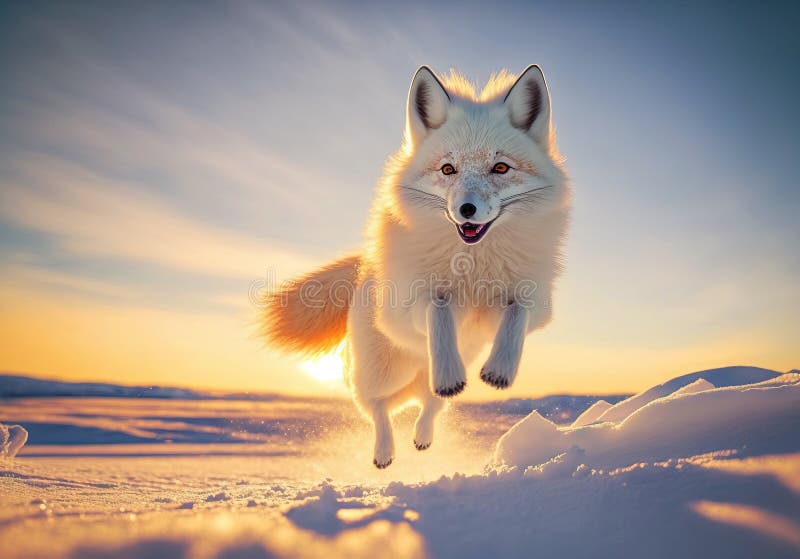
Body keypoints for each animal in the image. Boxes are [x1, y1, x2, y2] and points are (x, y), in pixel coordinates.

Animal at [262, 65, 570, 468]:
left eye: (500, 167)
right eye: (448, 169)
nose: (466, 210)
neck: (472, 262)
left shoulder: (525, 308)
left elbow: (516, 314)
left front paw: (500, 369)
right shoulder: (409, 306)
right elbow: (438, 311)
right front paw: (448, 369)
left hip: (424, 383)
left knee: (430, 405)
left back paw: (422, 437)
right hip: (381, 375)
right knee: (376, 409)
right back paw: (384, 452)